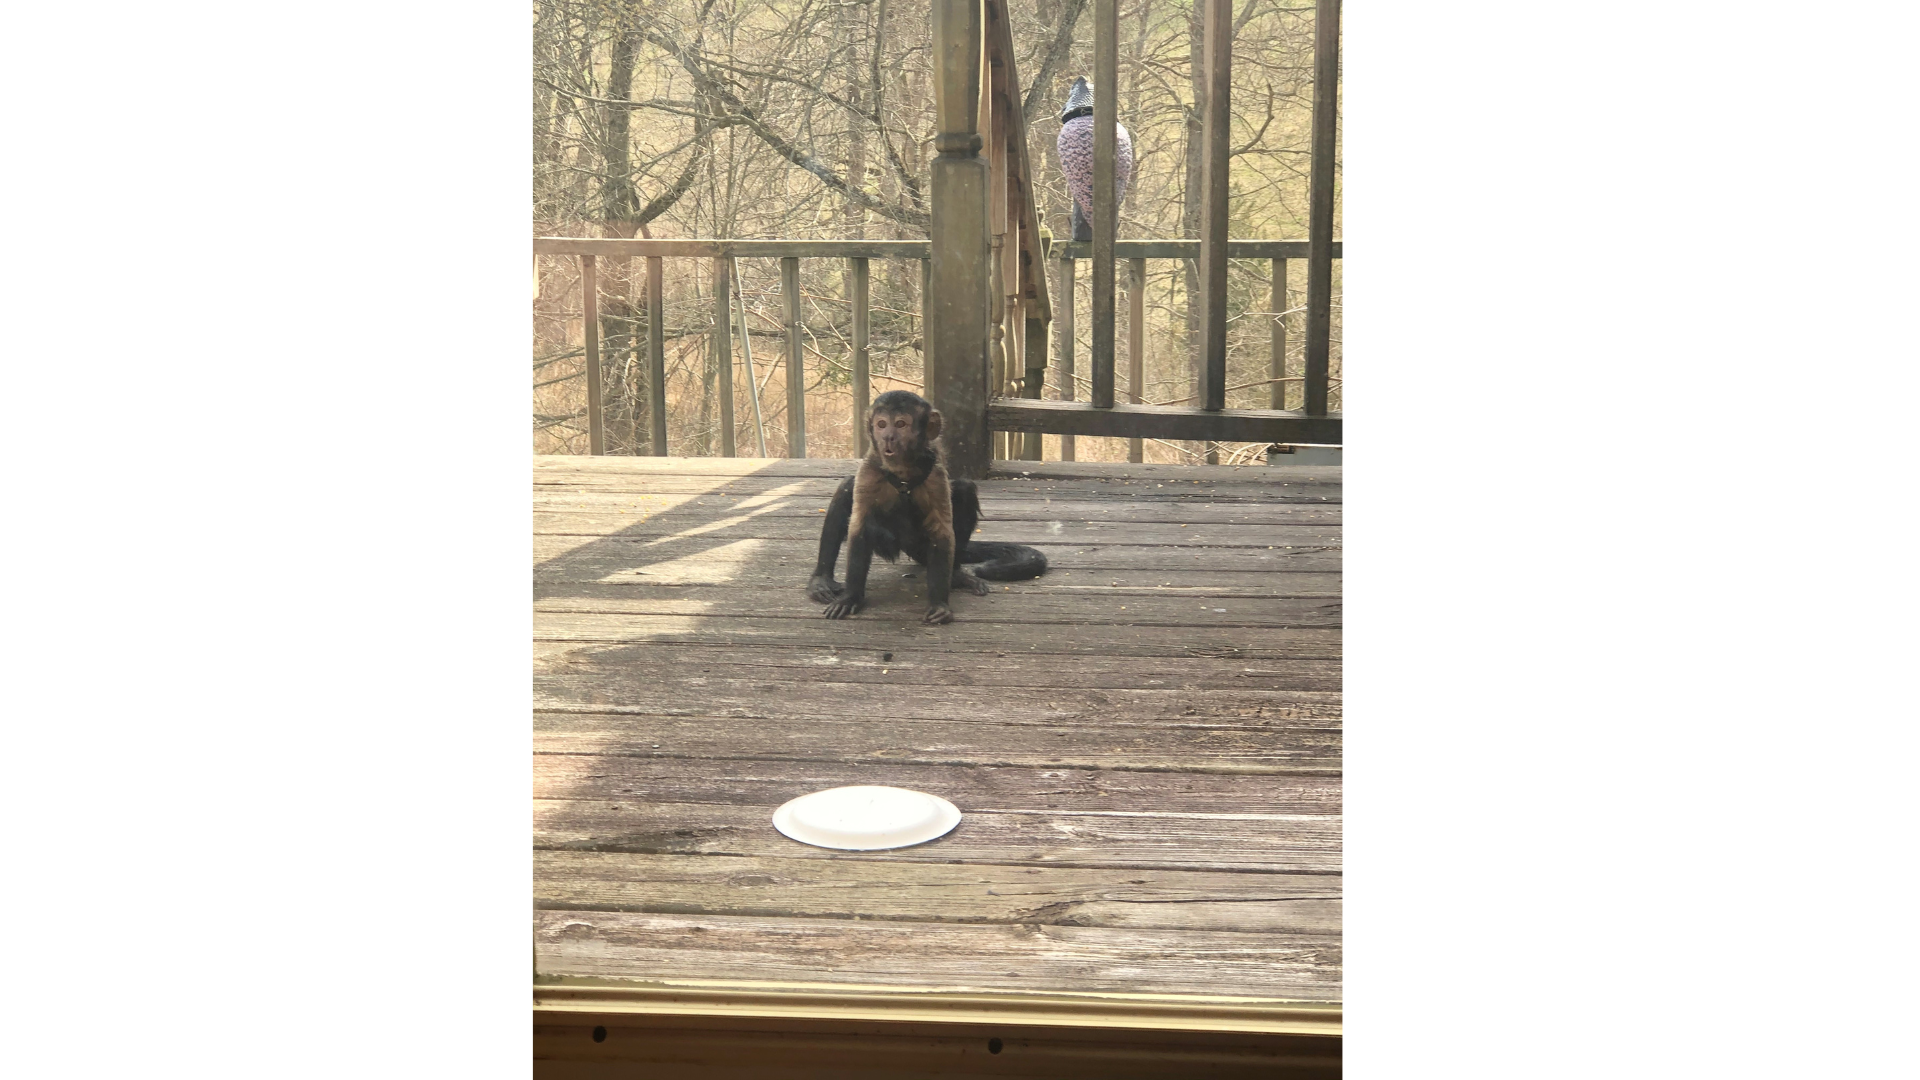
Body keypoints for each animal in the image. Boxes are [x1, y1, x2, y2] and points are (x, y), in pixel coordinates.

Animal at [806, 390, 1048, 624]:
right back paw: (822, 579)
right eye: (882, 424)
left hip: (920, 547)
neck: (902, 475)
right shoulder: (871, 469)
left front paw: (939, 603)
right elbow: (860, 528)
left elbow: (942, 533)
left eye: (900, 424)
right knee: (848, 487)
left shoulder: (934, 474)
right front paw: (851, 597)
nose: (888, 437)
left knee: (965, 490)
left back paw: (955, 575)